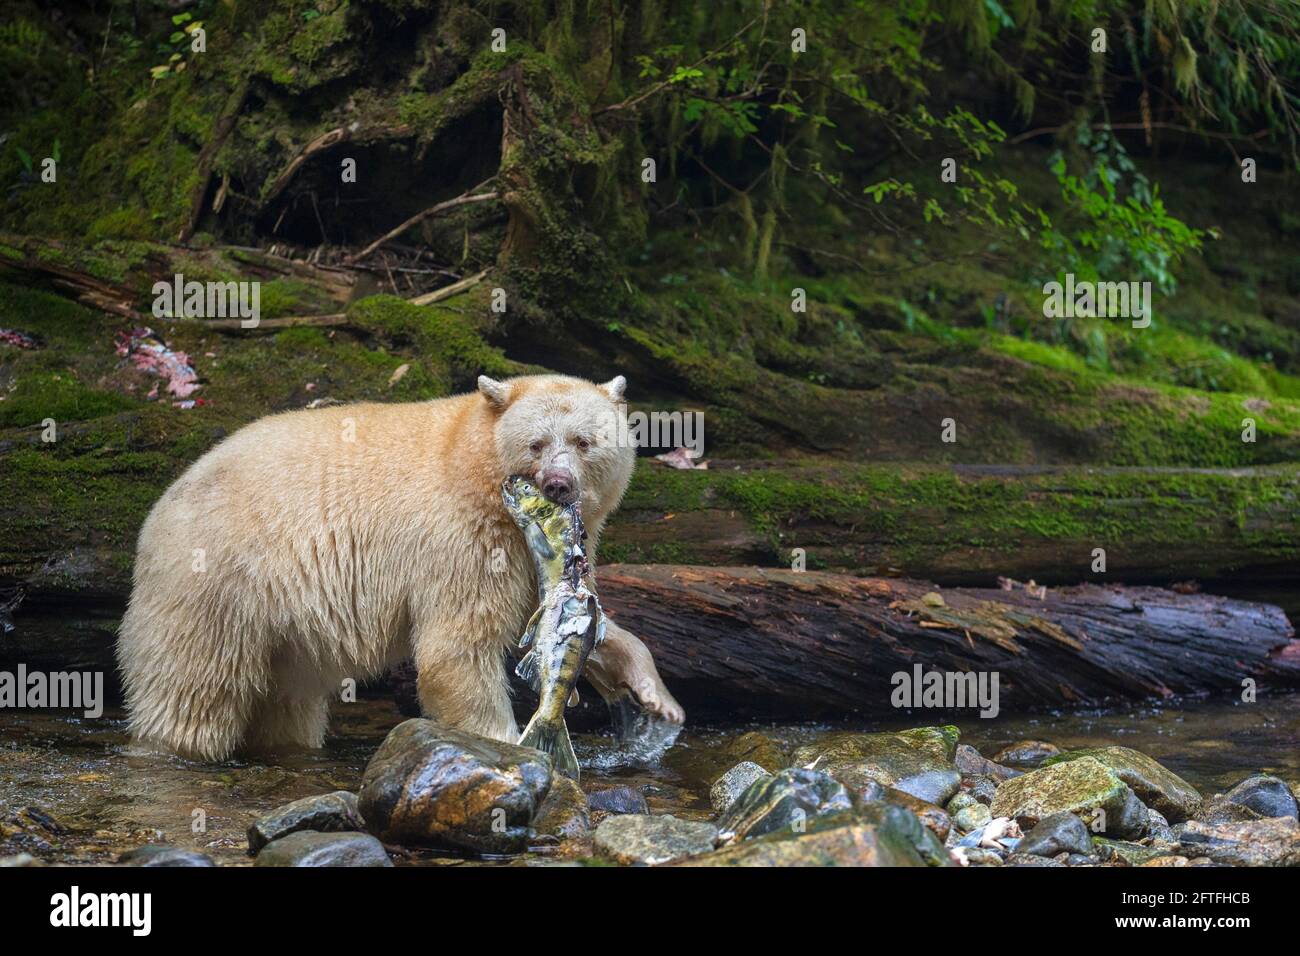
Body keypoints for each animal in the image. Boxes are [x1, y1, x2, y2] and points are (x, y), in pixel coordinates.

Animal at [117, 373, 683, 761]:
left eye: (584, 442)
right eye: (537, 443)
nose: (558, 484)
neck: (474, 466)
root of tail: (162, 505)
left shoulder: (548, 552)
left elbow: (575, 618)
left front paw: (655, 697)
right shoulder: (462, 541)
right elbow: (456, 651)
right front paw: (505, 746)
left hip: (282, 630)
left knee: (287, 702)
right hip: (217, 578)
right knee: (194, 689)